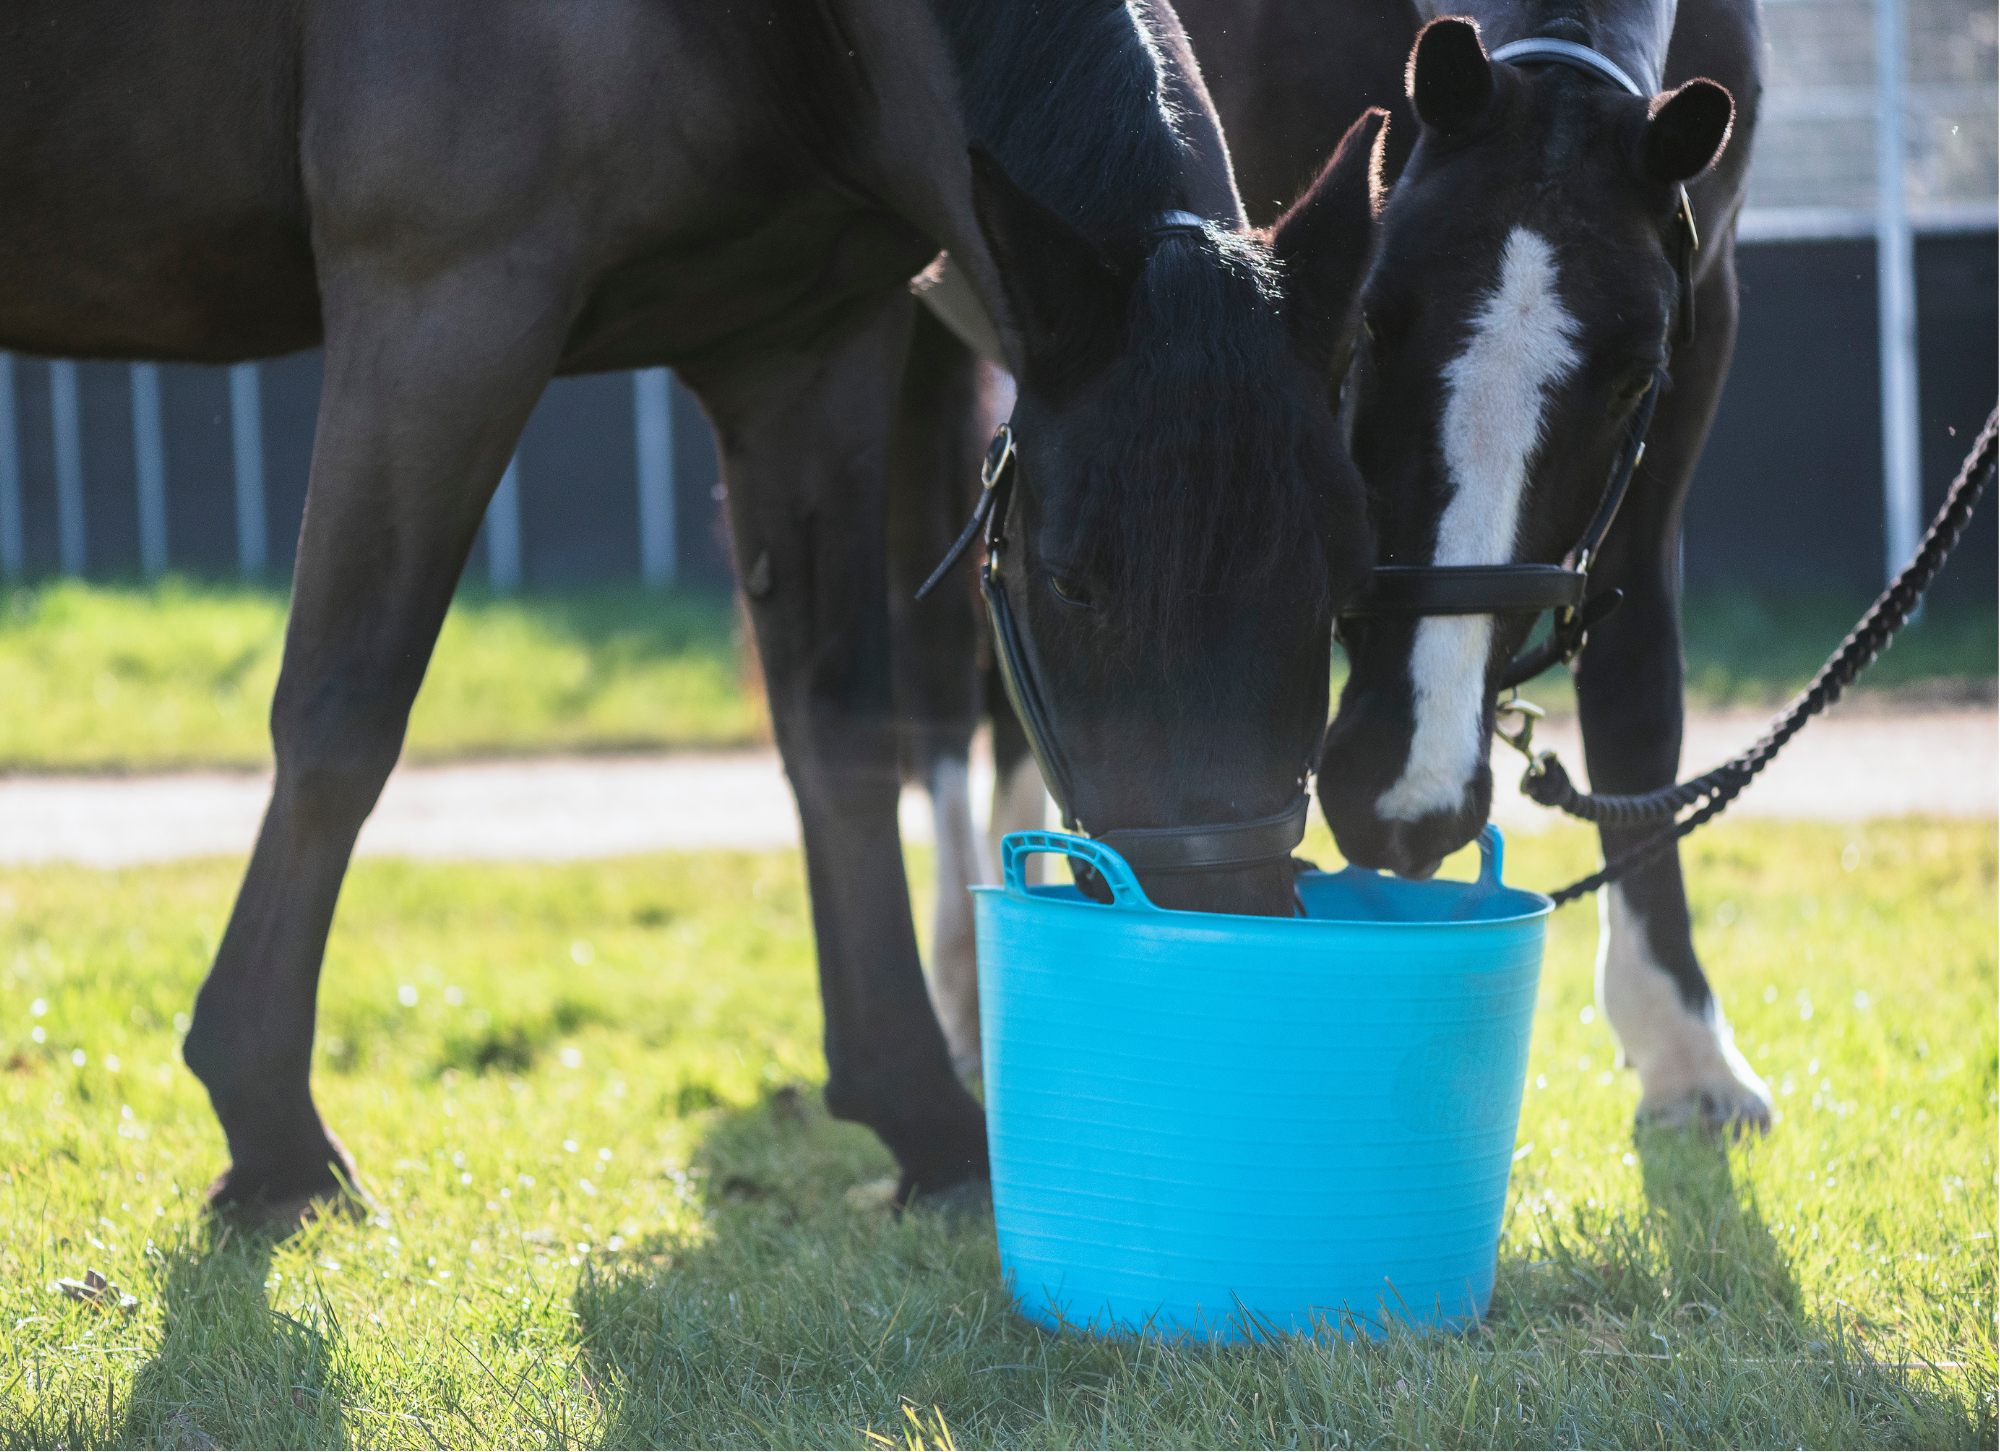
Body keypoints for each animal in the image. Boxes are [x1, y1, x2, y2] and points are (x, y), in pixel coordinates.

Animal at [1, 0, 1383, 1219]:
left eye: (1337, 579)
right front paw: (272, 1134)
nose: (1225, 924)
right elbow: (344, 713)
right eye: (1069, 578)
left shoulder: (801, 347)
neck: (765, 30)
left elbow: (840, 736)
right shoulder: (443, 306)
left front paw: (923, 1118)